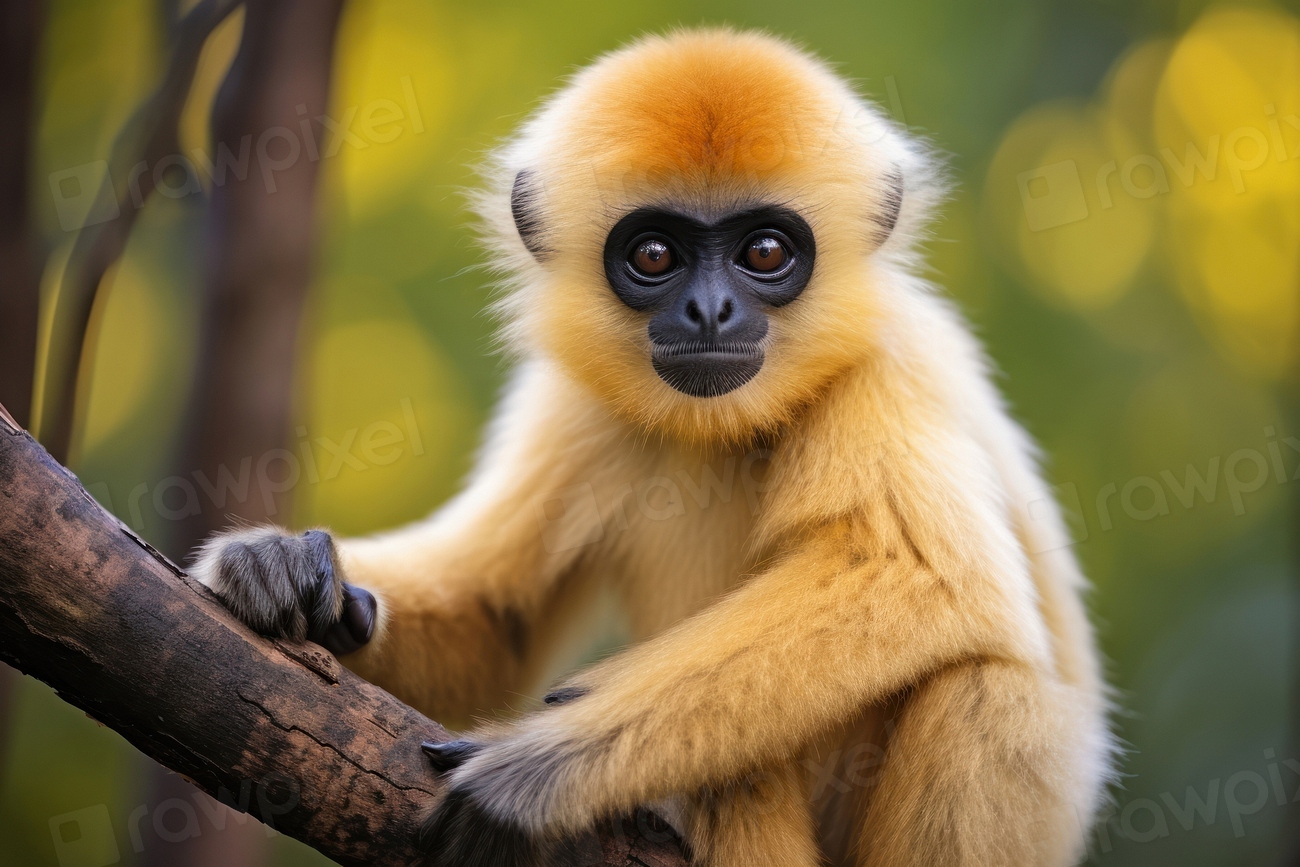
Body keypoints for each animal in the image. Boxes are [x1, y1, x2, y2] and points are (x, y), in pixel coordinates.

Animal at [192, 28, 1116, 867]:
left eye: (765, 252)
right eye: (655, 254)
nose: (709, 312)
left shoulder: (887, 364)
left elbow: (923, 575)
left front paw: (542, 769)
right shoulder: (579, 403)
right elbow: (500, 617)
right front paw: (293, 575)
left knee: (989, 685)